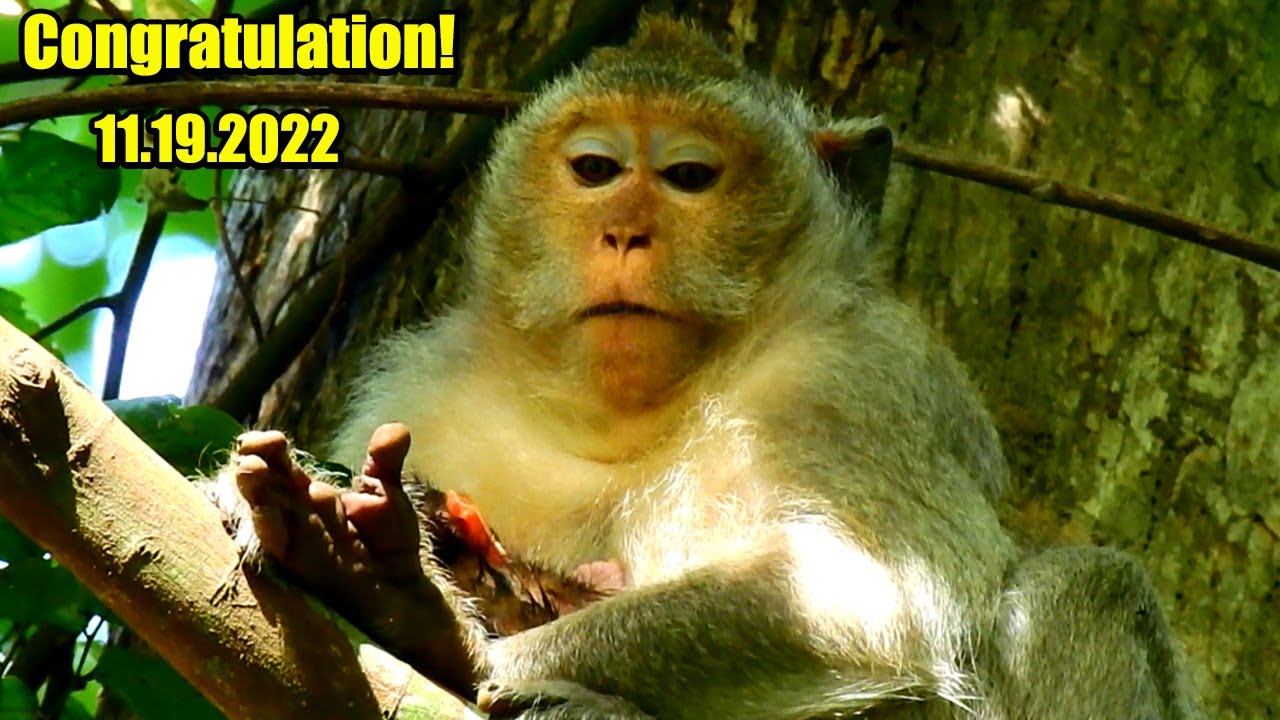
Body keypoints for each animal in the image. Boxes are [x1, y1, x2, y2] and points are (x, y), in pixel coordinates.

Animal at [208, 14, 1202, 720]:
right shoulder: (427, 389)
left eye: (689, 176)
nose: (625, 231)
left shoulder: (859, 375)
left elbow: (887, 603)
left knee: (1088, 590)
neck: (635, 414)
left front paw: (477, 638)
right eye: (597, 169)